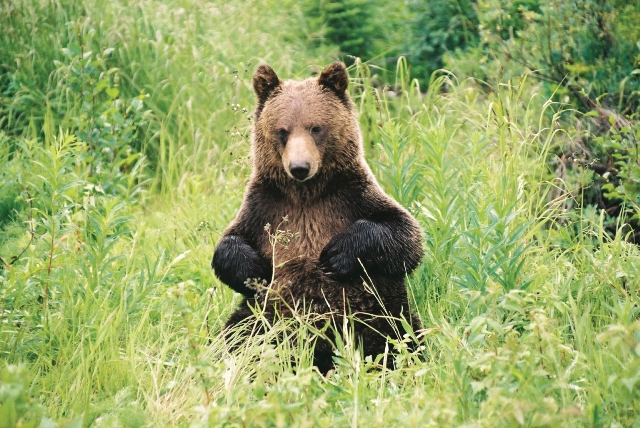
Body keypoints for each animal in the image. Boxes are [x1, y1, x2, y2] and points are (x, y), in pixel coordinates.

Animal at [212, 62, 424, 374]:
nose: (300, 167)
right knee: (239, 334)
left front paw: (337, 254)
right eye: (283, 130)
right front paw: (253, 268)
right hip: (263, 315)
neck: (306, 194)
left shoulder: (351, 196)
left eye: (316, 128)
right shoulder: (265, 206)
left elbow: (404, 236)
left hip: (376, 309)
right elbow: (229, 244)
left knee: (400, 333)